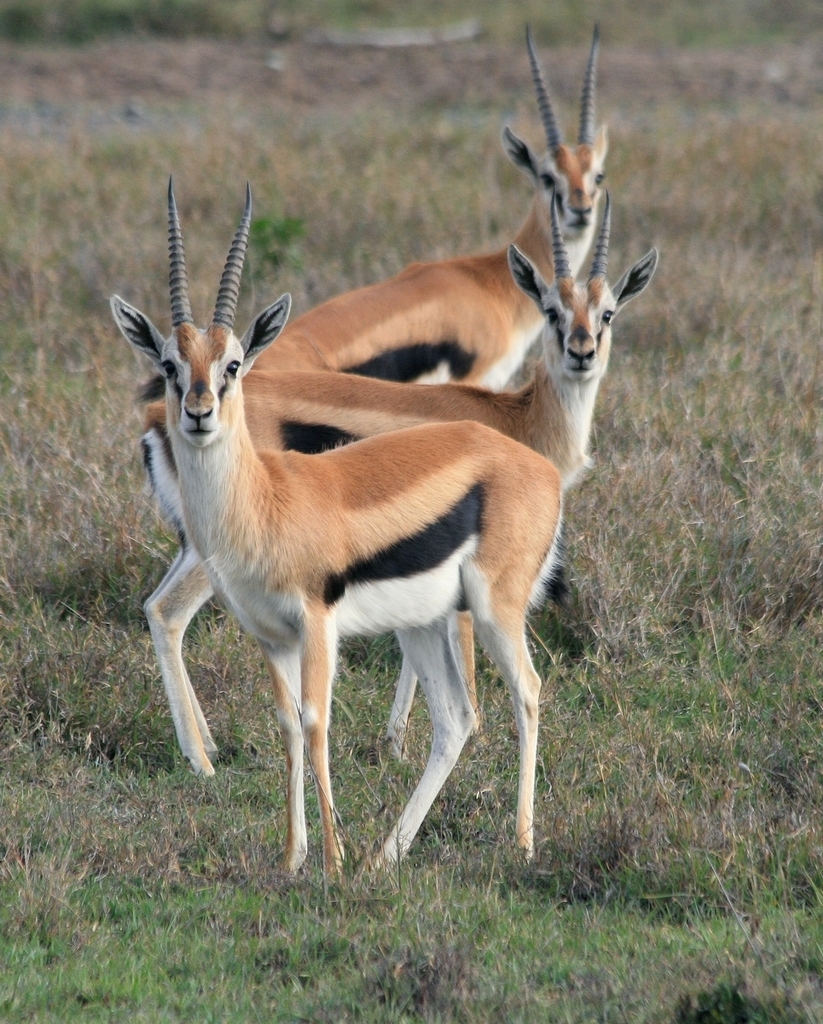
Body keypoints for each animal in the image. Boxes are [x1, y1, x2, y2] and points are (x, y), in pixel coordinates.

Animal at [113, 181, 566, 873]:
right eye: (169, 364)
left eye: (234, 363)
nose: (198, 412)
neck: (267, 502)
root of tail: (540, 467)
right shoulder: (271, 637)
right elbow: (287, 725)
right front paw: (293, 857)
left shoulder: (318, 624)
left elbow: (317, 721)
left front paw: (331, 860)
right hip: (423, 624)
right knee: (456, 719)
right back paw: (388, 855)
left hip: (494, 612)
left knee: (529, 692)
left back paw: (520, 843)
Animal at [135, 190, 658, 771]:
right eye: (552, 311)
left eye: (607, 312)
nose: (581, 353)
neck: (521, 420)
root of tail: (158, 416)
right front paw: (453, 735)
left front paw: (396, 738)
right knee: (167, 612)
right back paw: (200, 761)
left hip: (197, 549)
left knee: (158, 609)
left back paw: (207, 745)